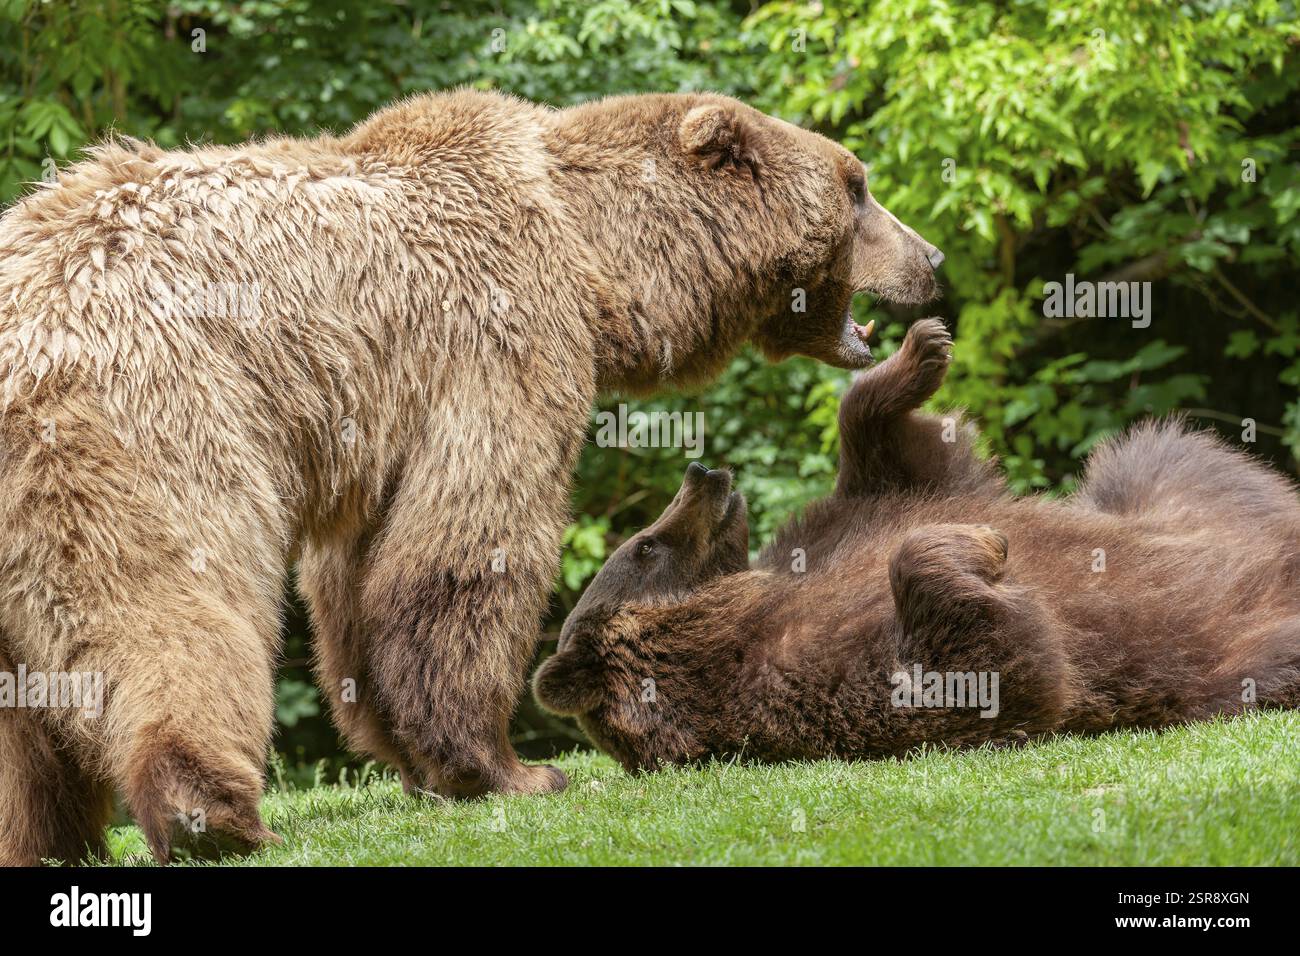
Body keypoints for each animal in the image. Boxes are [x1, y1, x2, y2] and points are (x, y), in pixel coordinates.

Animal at [0, 89, 944, 864]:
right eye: (858, 185)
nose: (932, 258)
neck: (597, 259)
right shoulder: (494, 338)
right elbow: (468, 546)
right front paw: (511, 769)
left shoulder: (384, 431)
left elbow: (360, 581)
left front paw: (413, 758)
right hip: (155, 417)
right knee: (171, 603)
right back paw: (213, 815)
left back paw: (49, 838)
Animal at [533, 318, 1300, 771]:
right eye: (643, 547)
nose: (703, 471)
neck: (737, 617)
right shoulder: (801, 685)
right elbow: (989, 669)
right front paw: (979, 545)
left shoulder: (850, 522)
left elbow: (903, 462)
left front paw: (918, 350)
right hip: (1239, 661)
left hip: (1178, 488)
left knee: (1158, 451)